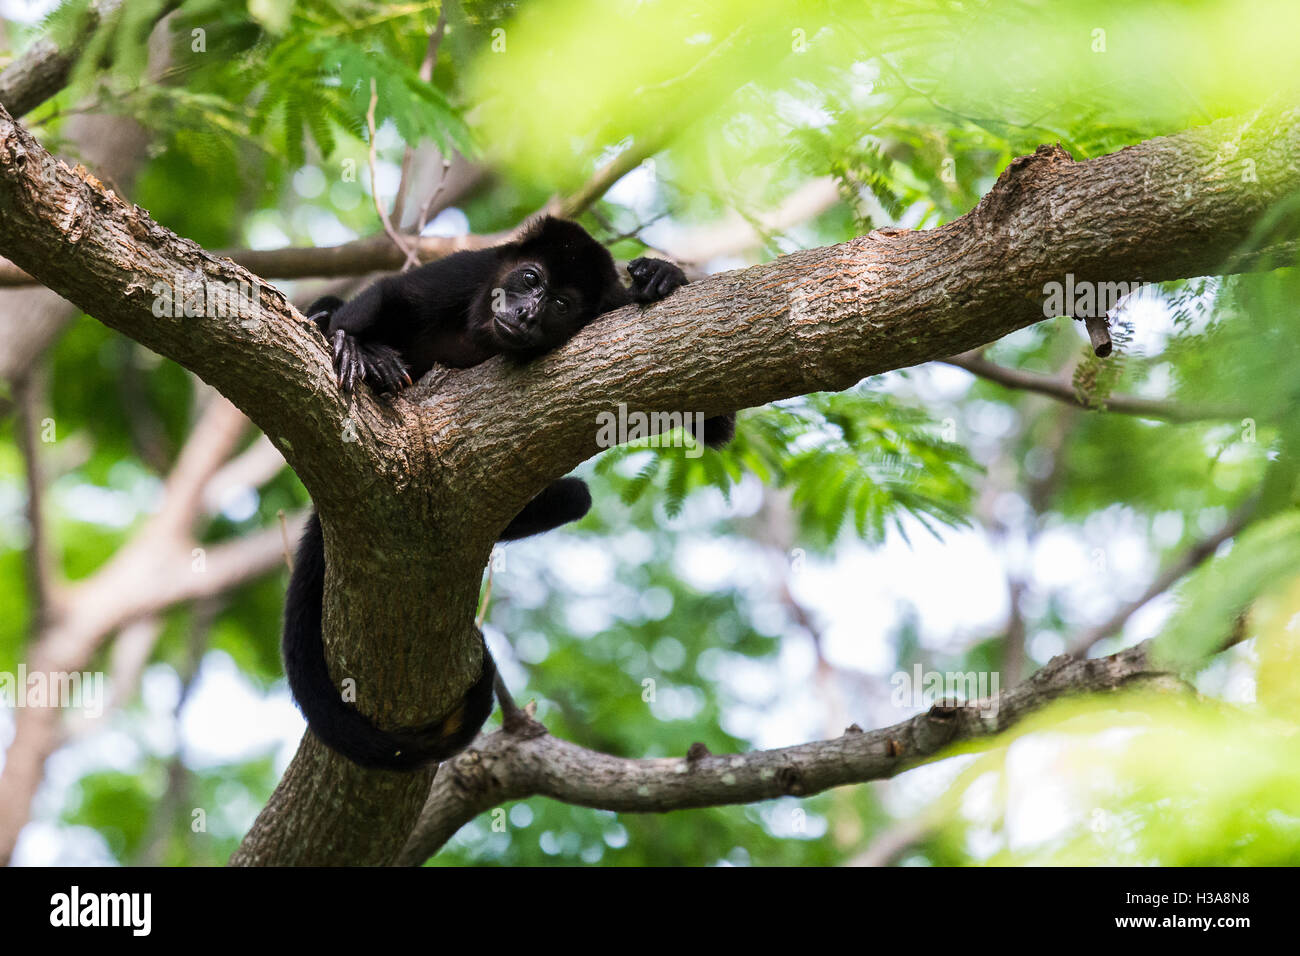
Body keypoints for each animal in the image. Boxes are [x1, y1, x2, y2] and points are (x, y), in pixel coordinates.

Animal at [283, 216, 734, 770]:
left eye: (560, 303)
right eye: (530, 278)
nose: (526, 311)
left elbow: (711, 422)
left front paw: (664, 276)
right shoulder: (467, 272)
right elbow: (391, 293)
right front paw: (353, 345)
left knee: (576, 496)